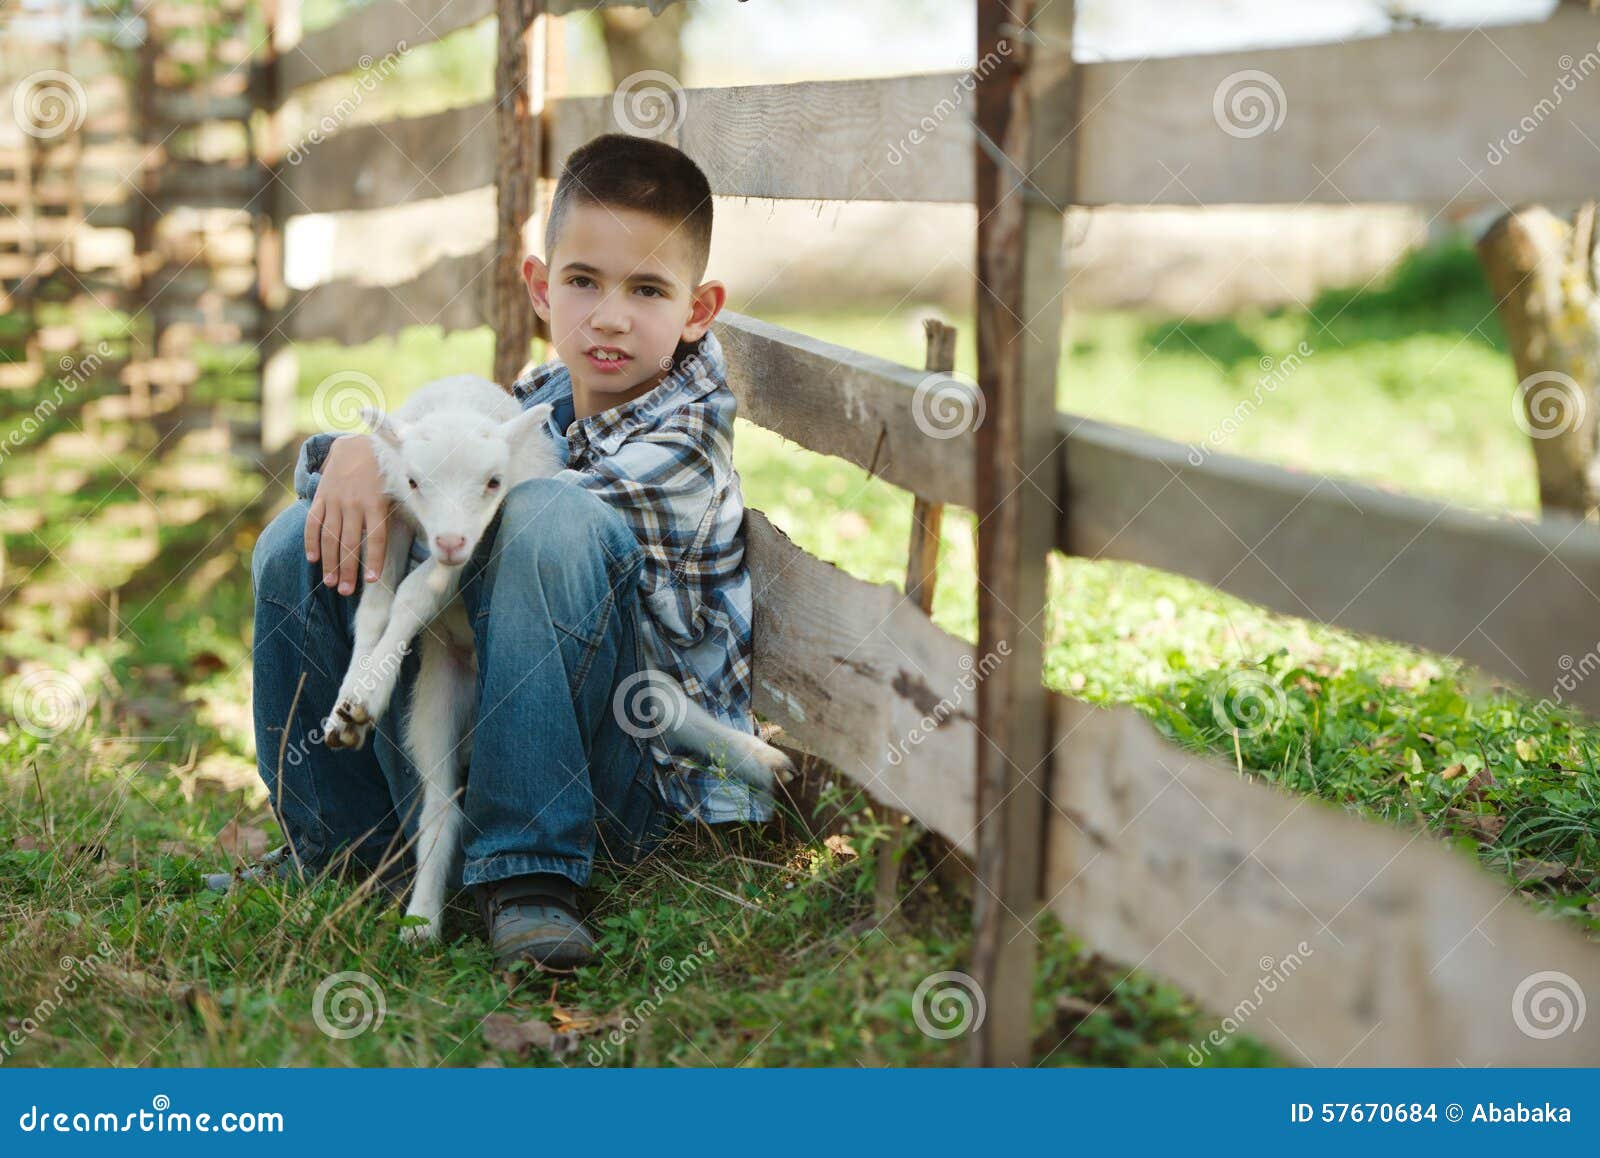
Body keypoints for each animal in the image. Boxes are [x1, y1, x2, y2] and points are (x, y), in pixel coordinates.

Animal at [319, 374, 793, 942]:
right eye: (414, 482)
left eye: (493, 482)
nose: (451, 541)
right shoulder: (392, 516)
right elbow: (374, 605)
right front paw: (351, 704)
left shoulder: (479, 537)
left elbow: (415, 593)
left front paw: (364, 695)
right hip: (438, 694)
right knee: (441, 804)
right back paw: (422, 921)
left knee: (666, 702)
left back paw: (766, 763)